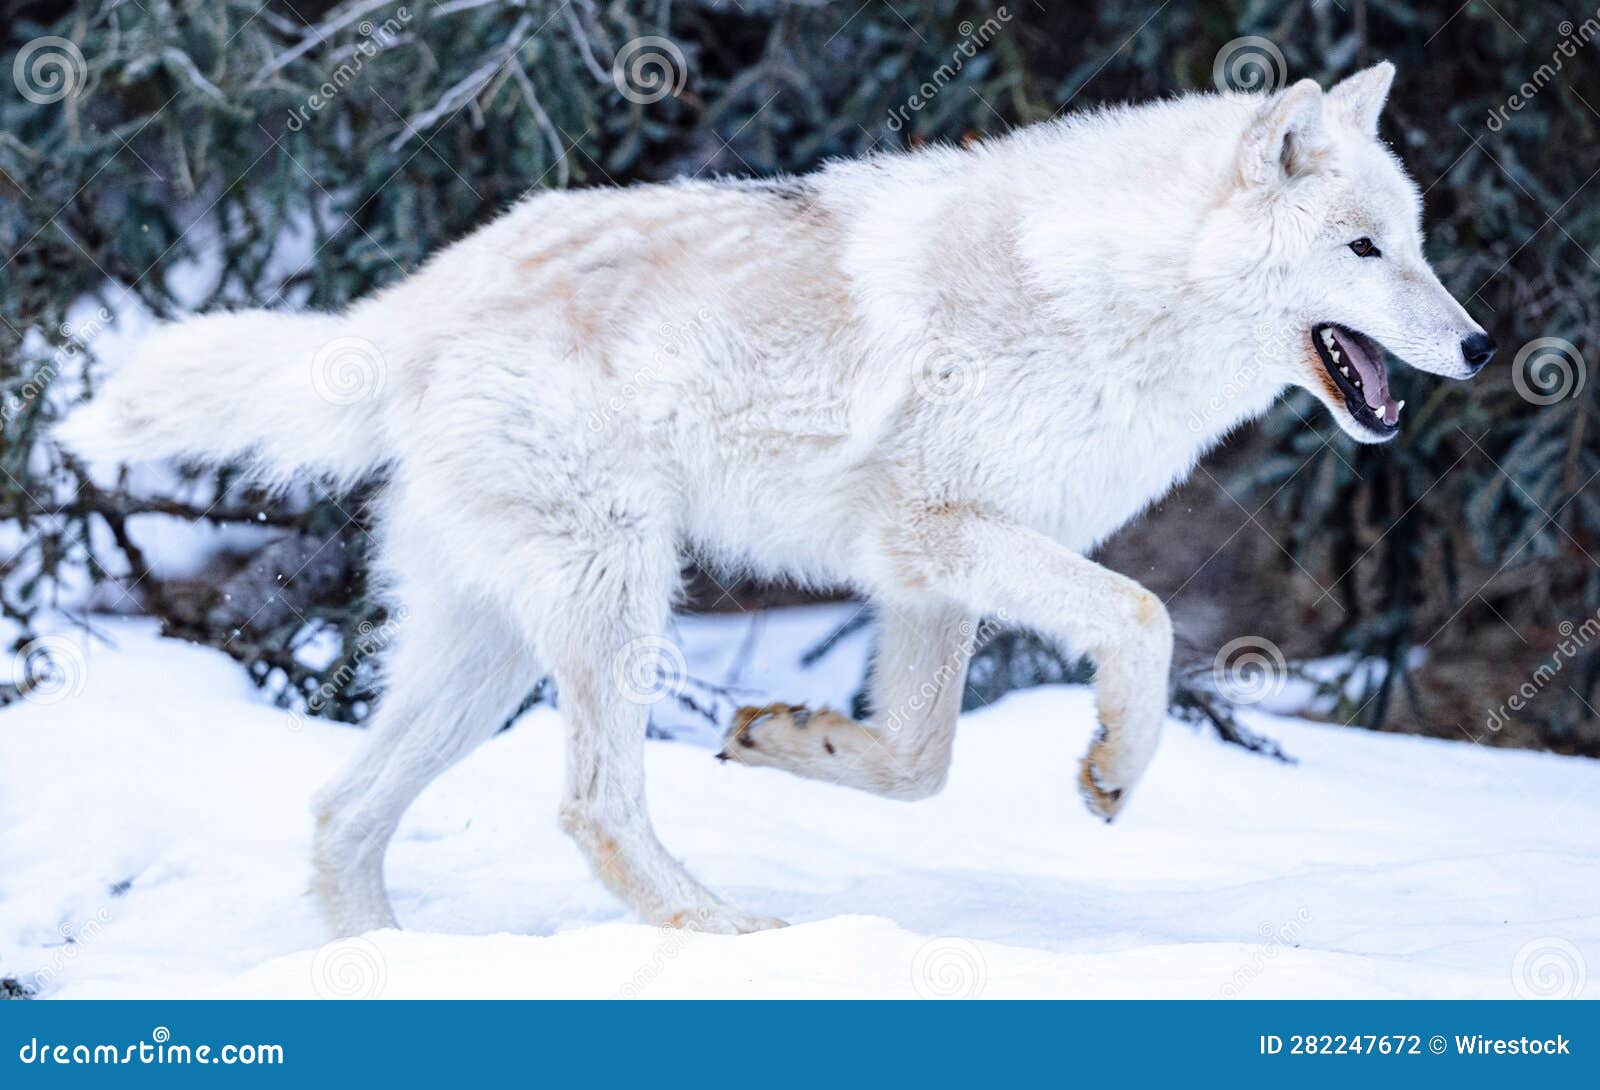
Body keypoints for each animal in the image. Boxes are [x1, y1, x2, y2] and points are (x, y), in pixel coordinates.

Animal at [57, 62, 1492, 935]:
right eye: (1363, 250)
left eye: (1419, 245)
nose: (1482, 346)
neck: (1104, 292)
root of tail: (413, 303)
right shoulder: (938, 534)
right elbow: (1139, 617)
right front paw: (1110, 771)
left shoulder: (921, 577)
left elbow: (917, 763)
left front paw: (788, 737)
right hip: (617, 599)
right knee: (591, 804)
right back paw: (723, 931)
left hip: (491, 651)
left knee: (343, 812)